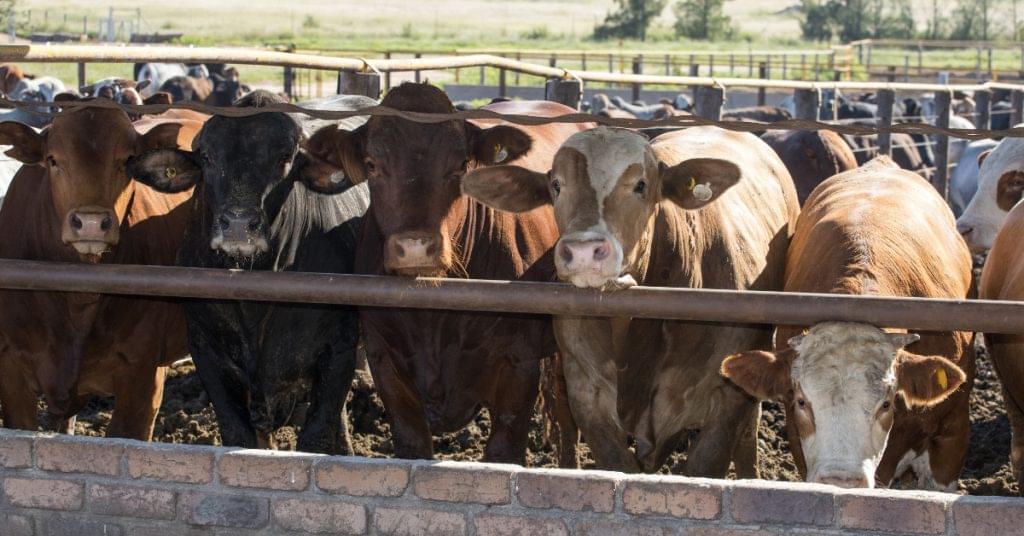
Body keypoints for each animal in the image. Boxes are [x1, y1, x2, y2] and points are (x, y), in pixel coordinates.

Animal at [126, 91, 371, 453]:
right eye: (207, 156)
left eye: (285, 157)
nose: (239, 225)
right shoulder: (207, 352)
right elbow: (239, 434)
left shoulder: (339, 350)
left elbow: (317, 434)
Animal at [299, 82, 588, 463]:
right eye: (372, 165)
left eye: (462, 165)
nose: (416, 246)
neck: (434, 318)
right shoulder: (384, 361)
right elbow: (412, 445)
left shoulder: (519, 366)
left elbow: (503, 450)